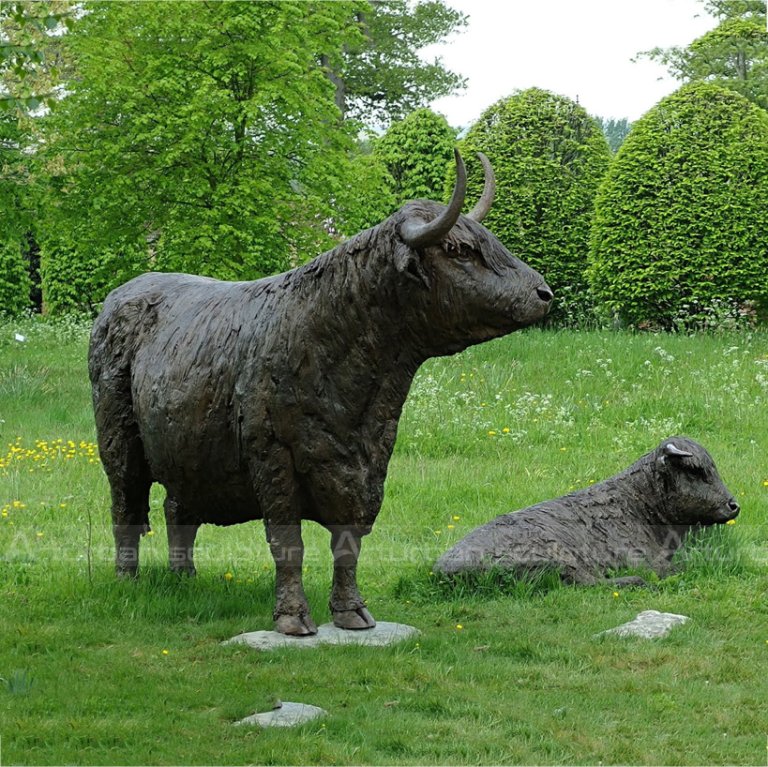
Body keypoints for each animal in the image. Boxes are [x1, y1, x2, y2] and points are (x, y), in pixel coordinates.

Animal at [88, 150, 554, 636]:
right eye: (459, 250)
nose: (544, 293)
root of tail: (122, 297)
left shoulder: (369, 466)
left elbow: (348, 540)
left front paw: (352, 612)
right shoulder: (272, 457)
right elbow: (287, 541)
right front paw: (292, 617)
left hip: (184, 447)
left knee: (177, 510)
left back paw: (185, 577)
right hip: (119, 444)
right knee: (126, 508)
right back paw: (127, 579)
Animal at [434, 437, 740, 584]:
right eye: (695, 471)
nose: (733, 505)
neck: (636, 504)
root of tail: (442, 567)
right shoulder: (645, 560)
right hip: (559, 560)